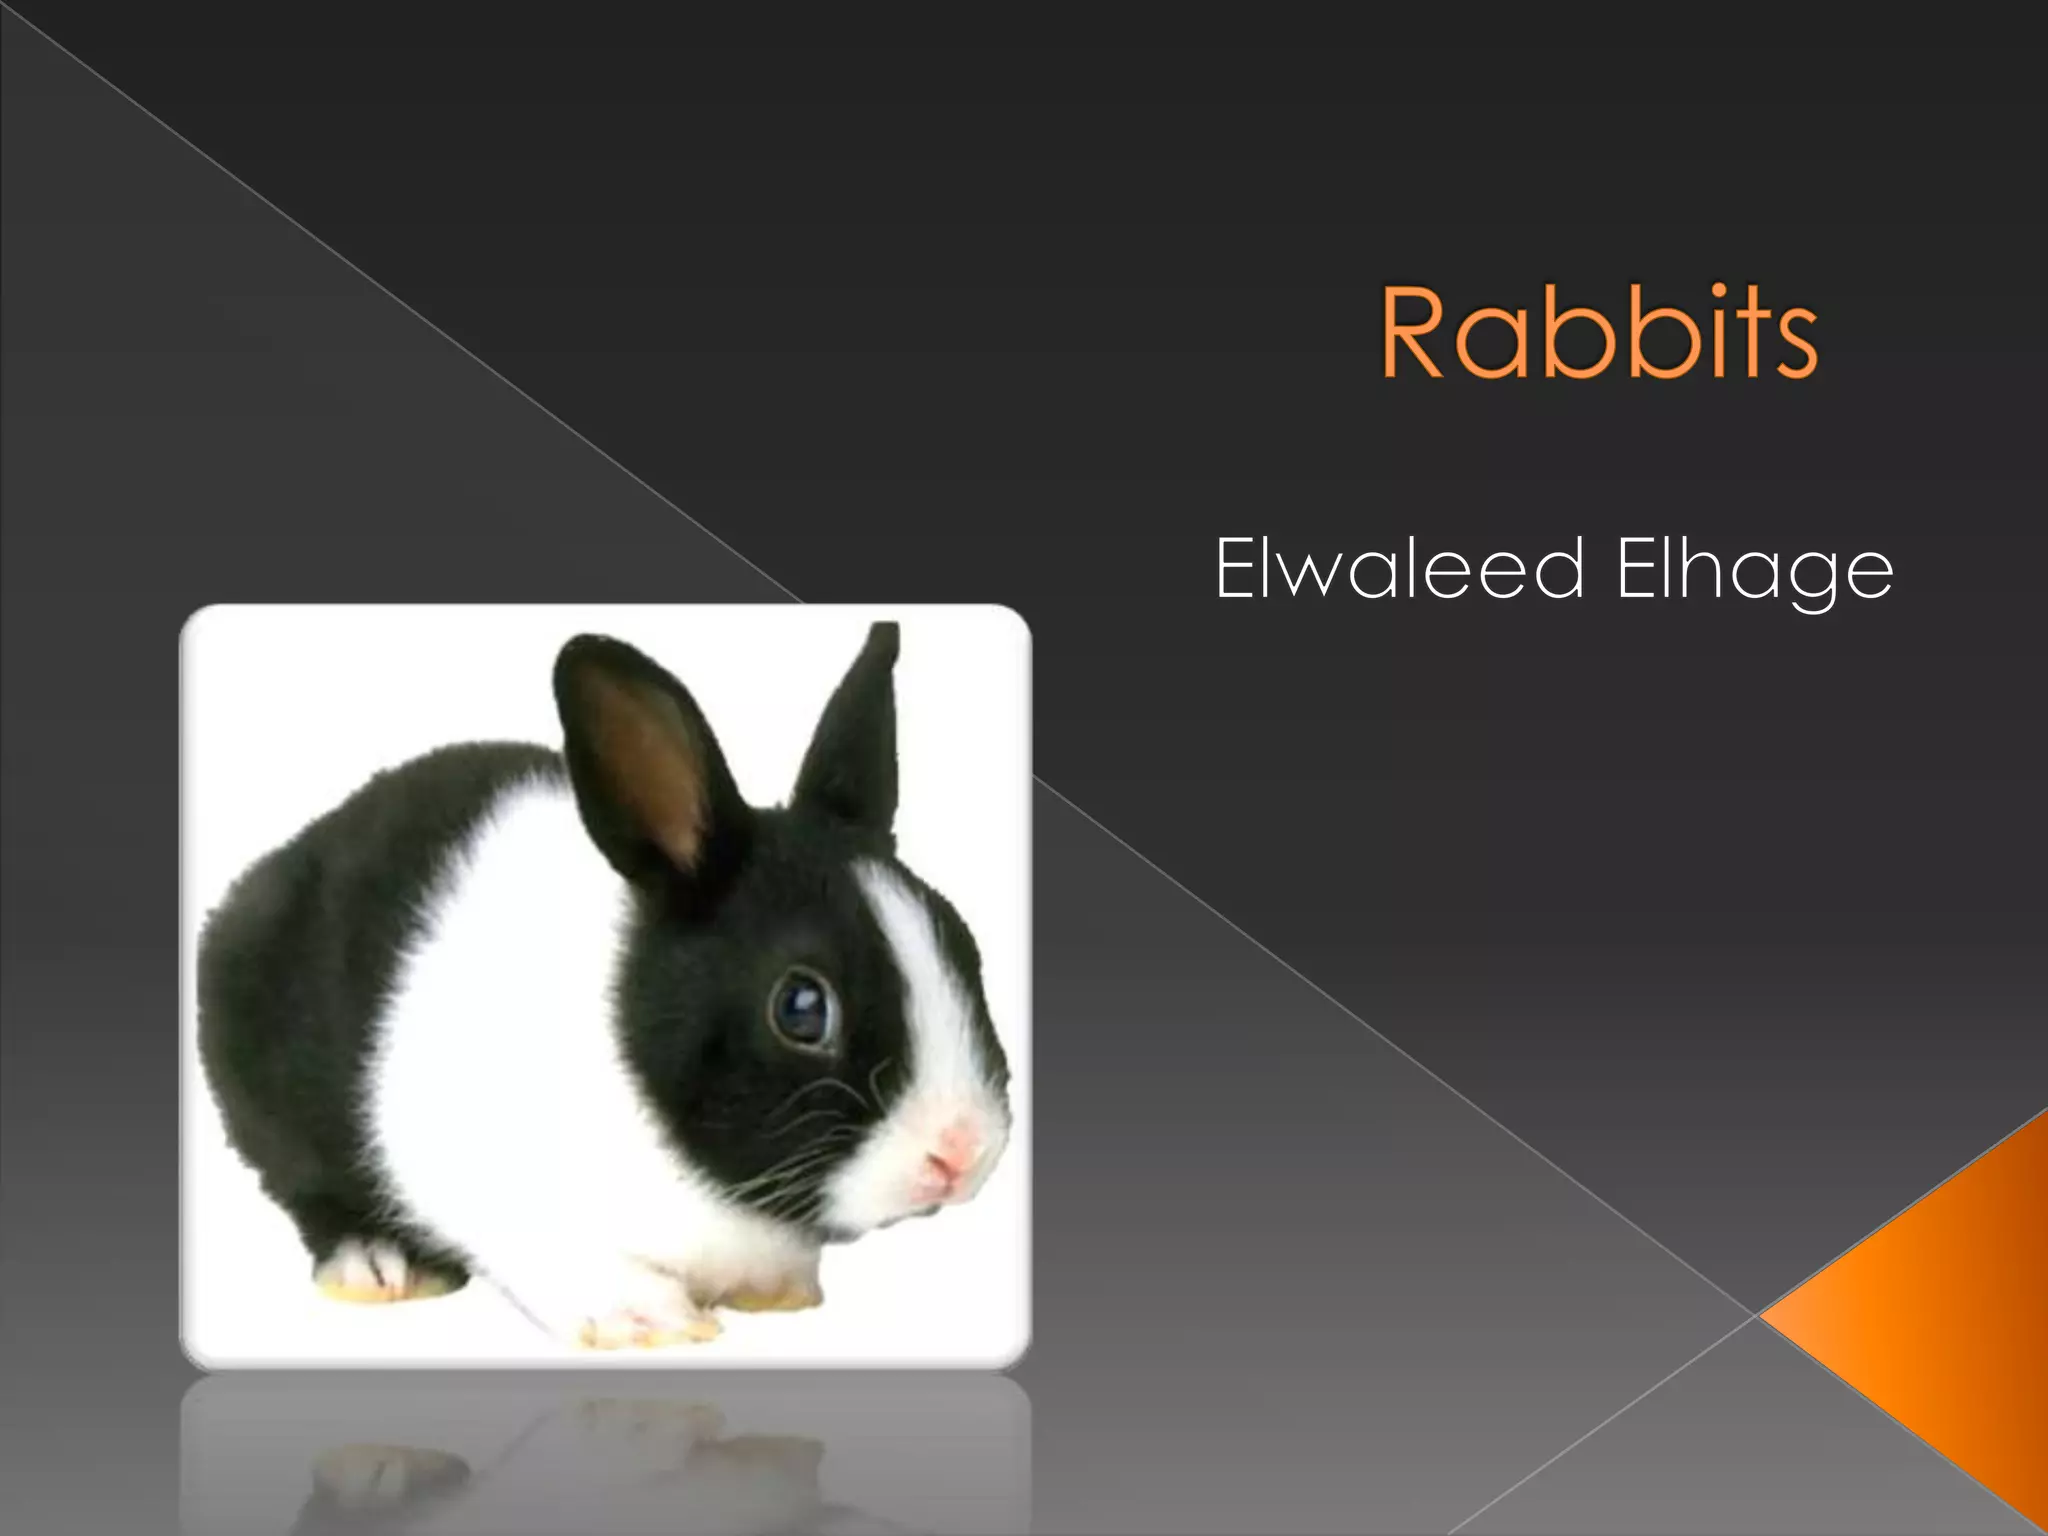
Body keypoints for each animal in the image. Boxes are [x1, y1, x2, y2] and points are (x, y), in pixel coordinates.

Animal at [197, 620, 1013, 1350]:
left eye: (963, 944)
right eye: (801, 1007)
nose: (963, 1151)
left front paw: (775, 1291)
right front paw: (647, 1321)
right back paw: (377, 1264)